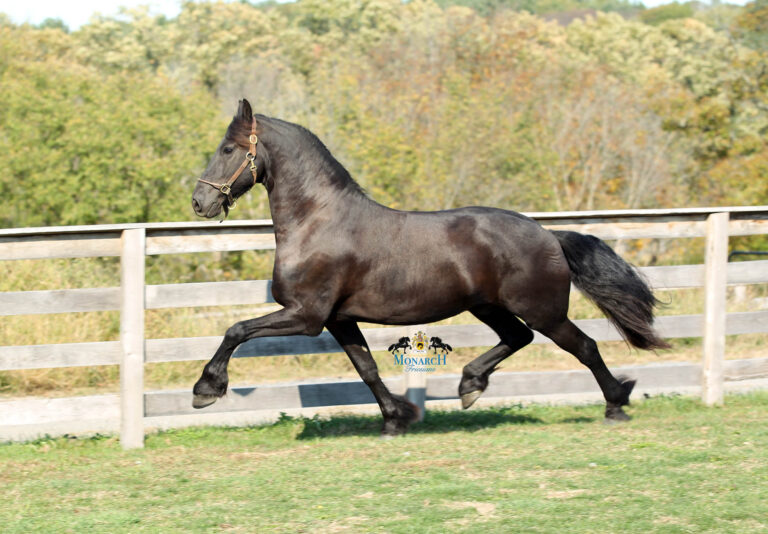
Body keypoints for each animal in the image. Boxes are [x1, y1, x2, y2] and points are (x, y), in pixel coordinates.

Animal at [190, 99, 669, 436]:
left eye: (228, 148)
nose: (199, 201)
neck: (318, 222)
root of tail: (549, 234)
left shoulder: (306, 316)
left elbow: (236, 329)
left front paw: (205, 391)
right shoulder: (338, 319)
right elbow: (366, 368)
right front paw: (396, 418)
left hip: (543, 310)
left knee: (583, 346)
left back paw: (616, 403)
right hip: (489, 307)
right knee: (518, 338)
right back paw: (470, 386)